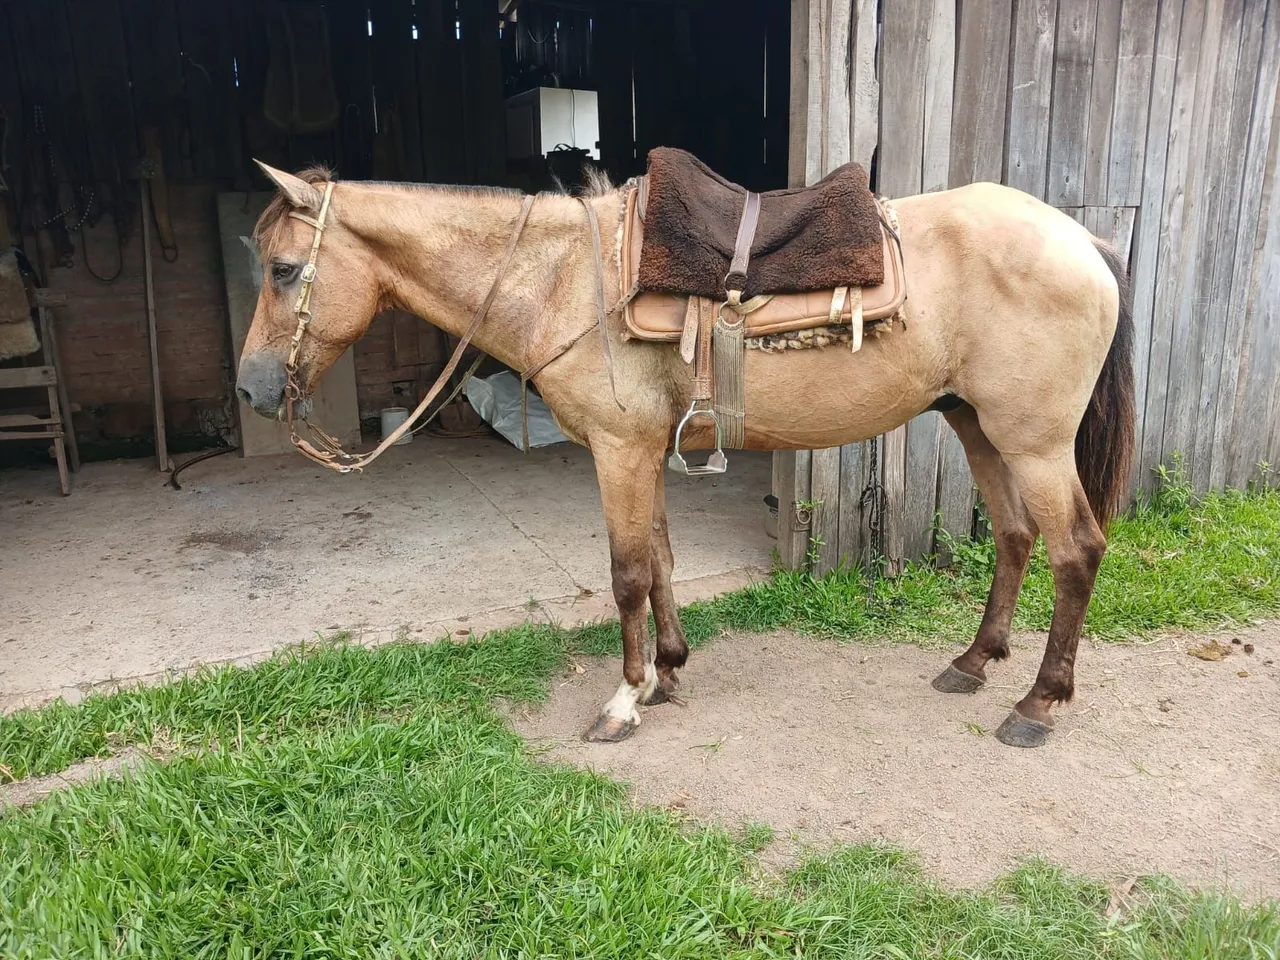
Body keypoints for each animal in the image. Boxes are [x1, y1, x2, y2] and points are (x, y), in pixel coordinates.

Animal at [236, 160, 1134, 749]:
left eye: (283, 269)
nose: (249, 387)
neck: (563, 278)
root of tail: (1082, 239)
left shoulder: (618, 451)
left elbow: (629, 572)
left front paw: (625, 699)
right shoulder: (643, 452)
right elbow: (662, 561)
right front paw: (668, 672)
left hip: (1035, 442)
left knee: (1075, 551)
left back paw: (1036, 705)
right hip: (978, 426)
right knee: (1016, 537)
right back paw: (973, 663)